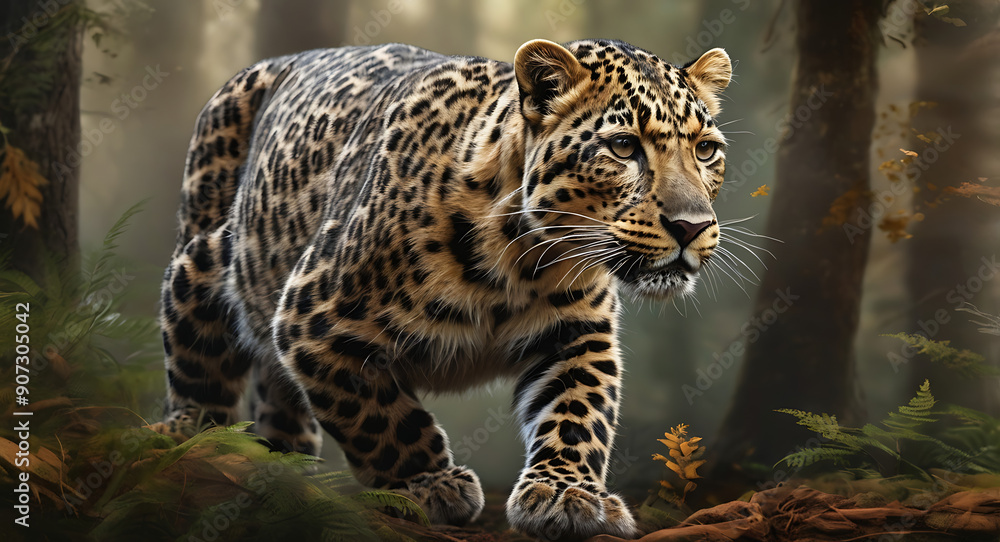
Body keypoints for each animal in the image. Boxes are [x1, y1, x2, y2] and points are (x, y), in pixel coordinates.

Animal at [159, 38, 731, 540]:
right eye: (623, 146)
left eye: (705, 151)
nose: (692, 226)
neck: (523, 261)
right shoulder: (312, 321)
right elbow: (382, 417)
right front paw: (429, 485)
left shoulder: (576, 334)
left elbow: (578, 412)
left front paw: (565, 494)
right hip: (206, 260)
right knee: (198, 364)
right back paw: (195, 440)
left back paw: (286, 462)